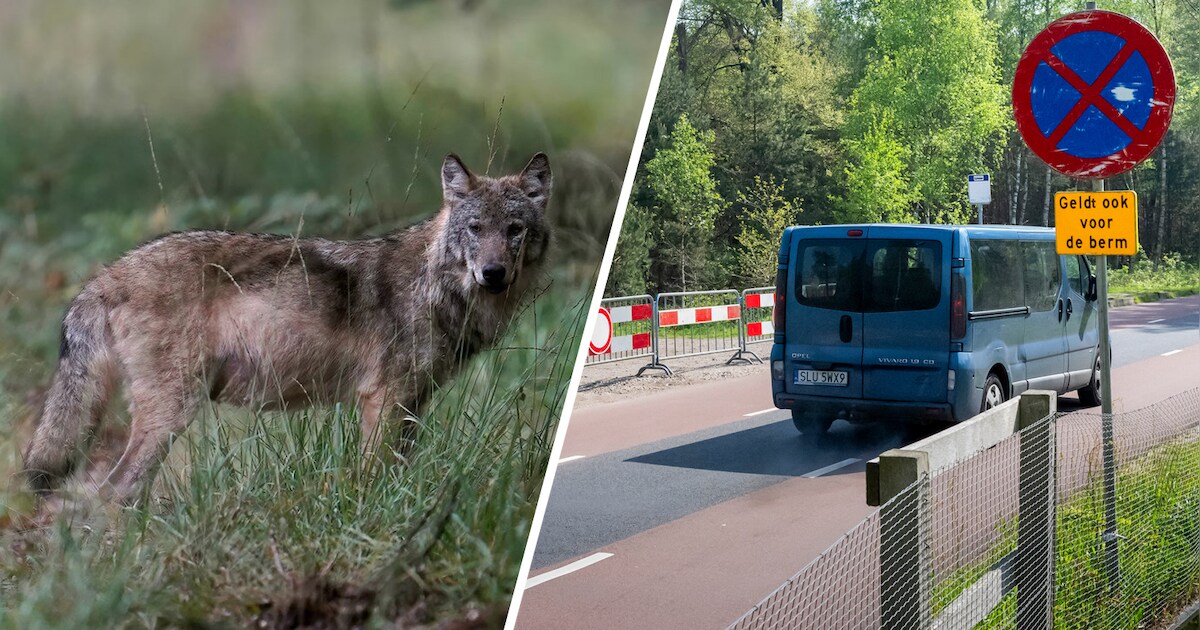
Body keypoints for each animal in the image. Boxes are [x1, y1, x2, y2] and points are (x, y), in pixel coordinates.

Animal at [23, 152, 552, 503]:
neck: (435, 286)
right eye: (475, 229)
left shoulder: (413, 403)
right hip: (171, 413)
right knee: (113, 492)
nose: (493, 274)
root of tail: (107, 274)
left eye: (514, 230)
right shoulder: (383, 398)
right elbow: (373, 476)